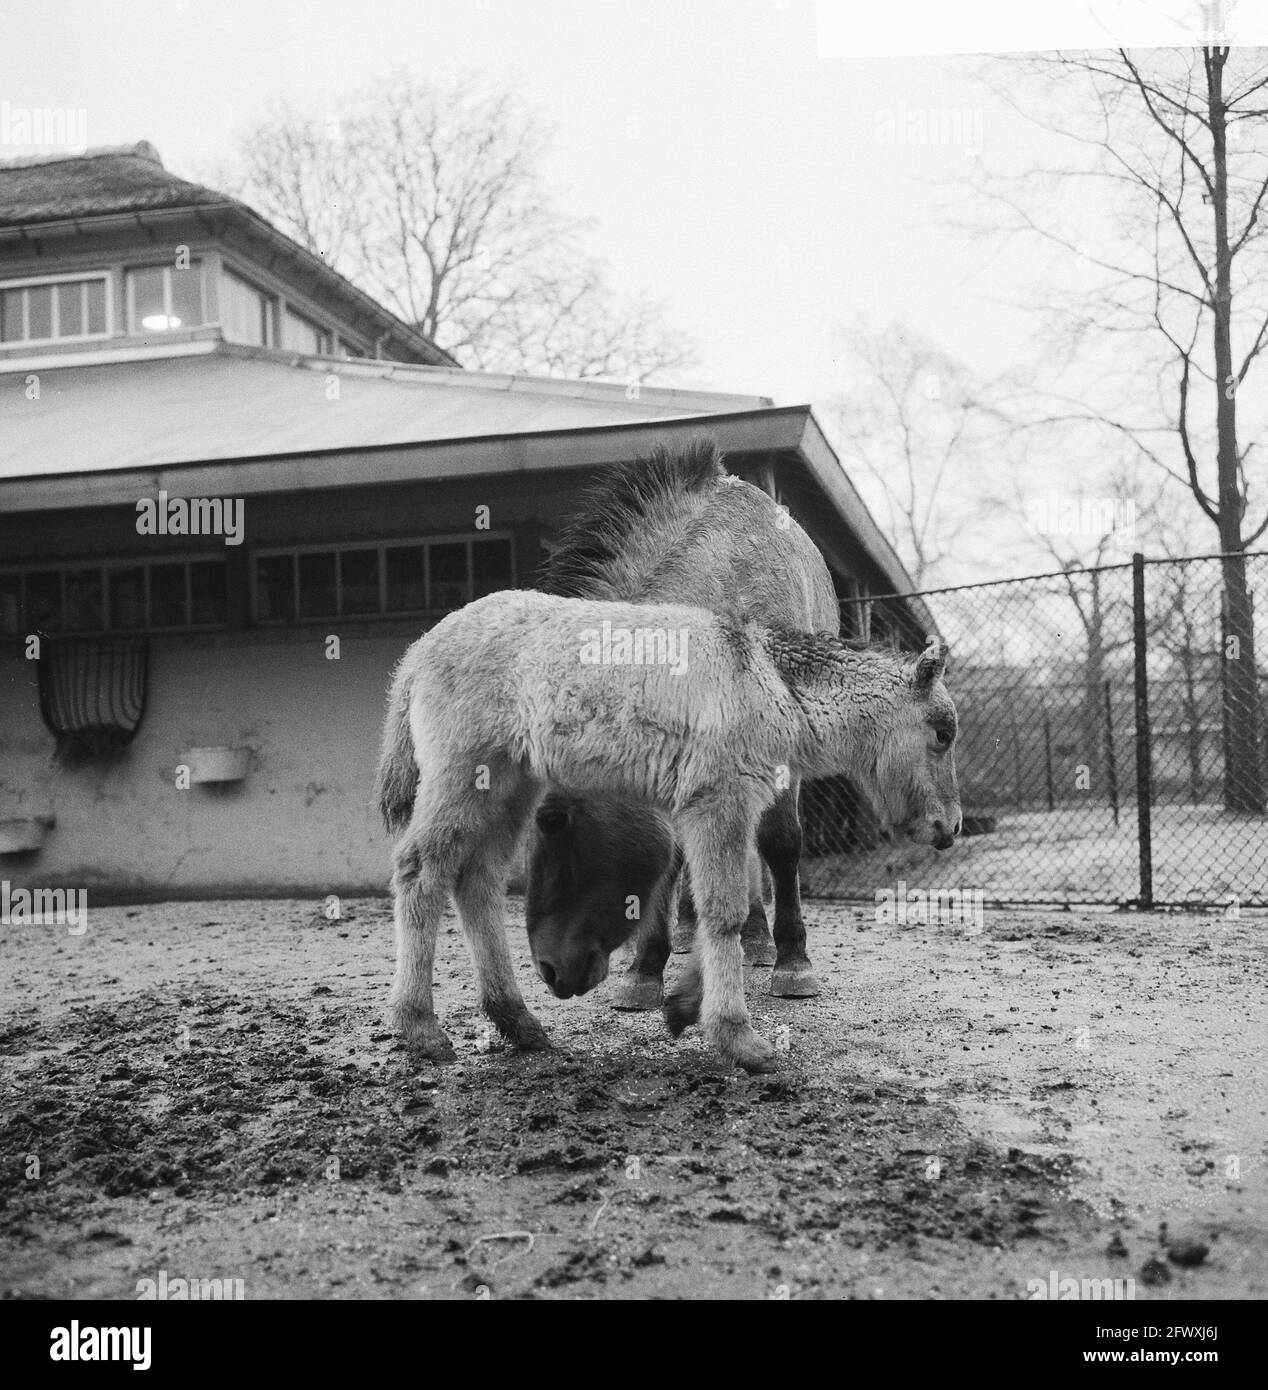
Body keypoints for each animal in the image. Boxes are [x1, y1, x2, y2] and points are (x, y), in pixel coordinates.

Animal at [376, 588, 961, 1073]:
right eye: (943, 732)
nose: (950, 826)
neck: (765, 676)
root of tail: (418, 653)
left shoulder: (703, 814)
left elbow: (707, 905)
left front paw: (682, 1007)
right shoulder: (720, 804)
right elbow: (723, 911)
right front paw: (738, 1038)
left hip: (507, 786)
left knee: (477, 881)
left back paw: (518, 1022)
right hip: (465, 776)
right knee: (420, 871)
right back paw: (420, 1027)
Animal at [526, 439, 841, 1009]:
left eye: (559, 821)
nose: (551, 968)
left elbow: (780, 843)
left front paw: (794, 963)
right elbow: (676, 857)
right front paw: (645, 971)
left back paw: (757, 941)